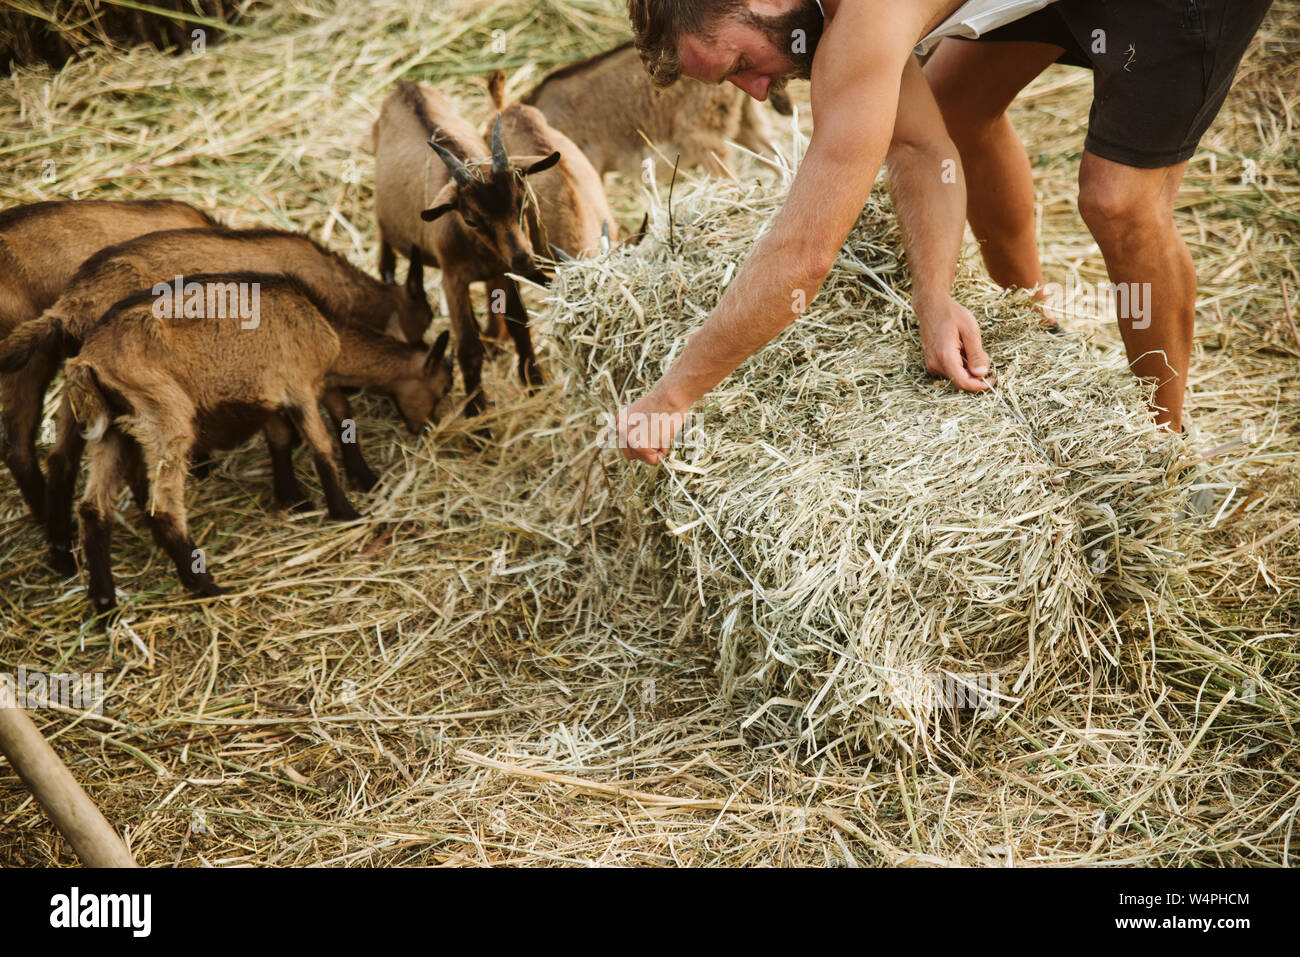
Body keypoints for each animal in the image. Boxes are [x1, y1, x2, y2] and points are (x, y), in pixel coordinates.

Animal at [372, 79, 559, 418]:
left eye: (522, 200)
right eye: (471, 219)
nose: (524, 260)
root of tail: (405, 85)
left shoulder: (502, 270)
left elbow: (518, 324)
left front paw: (535, 383)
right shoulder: (453, 278)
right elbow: (468, 346)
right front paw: (477, 412)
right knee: (383, 234)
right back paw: (387, 272)